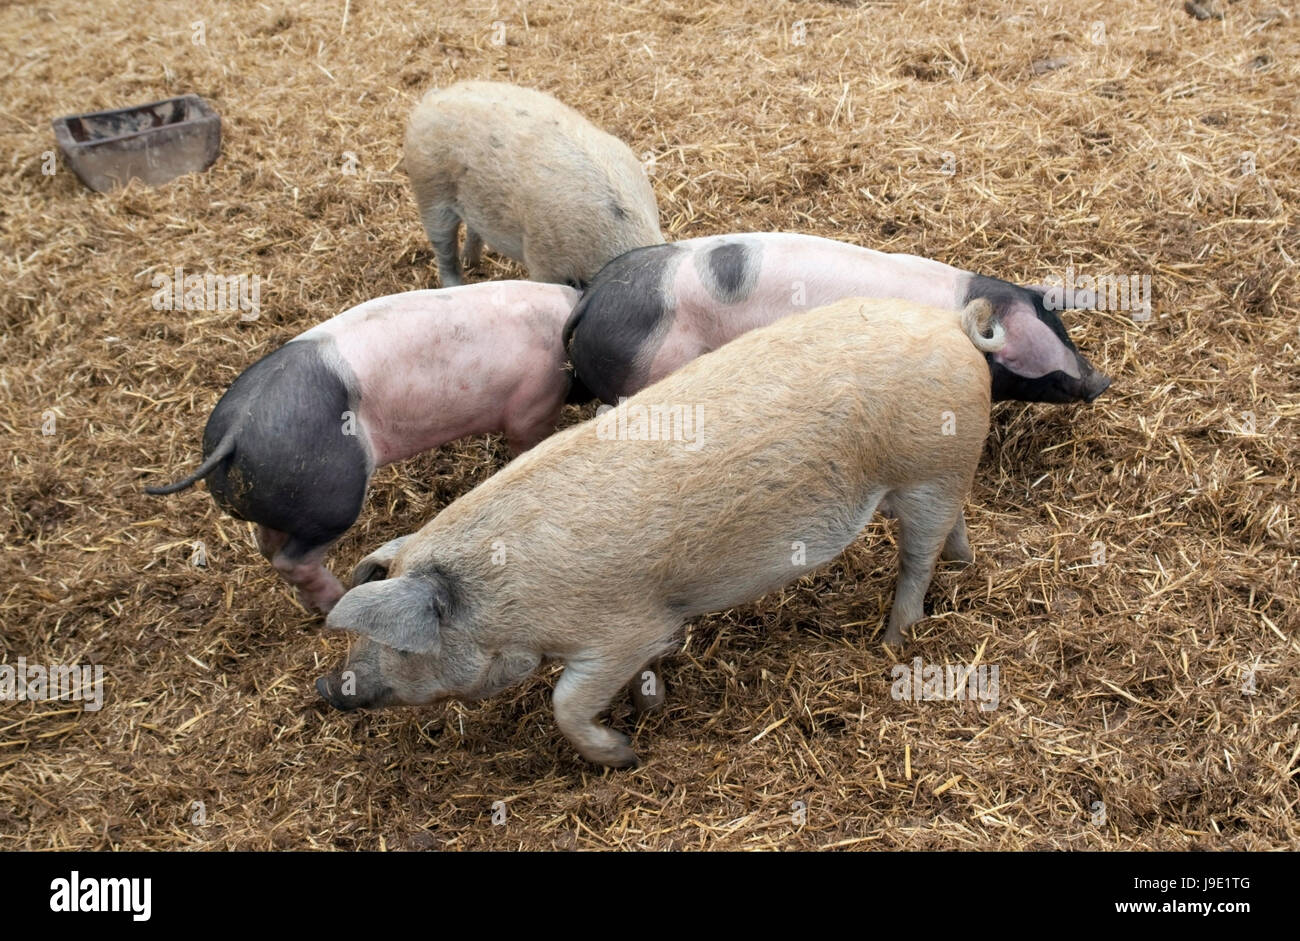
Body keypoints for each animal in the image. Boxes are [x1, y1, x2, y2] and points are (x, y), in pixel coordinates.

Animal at [145, 281, 580, 614]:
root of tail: (235, 432)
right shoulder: (533, 406)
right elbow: (528, 442)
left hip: (283, 500)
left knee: (267, 545)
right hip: (333, 496)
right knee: (292, 559)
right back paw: (336, 600)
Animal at [317, 295, 1003, 767]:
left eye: (405, 646)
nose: (328, 685)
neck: (498, 603)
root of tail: (954, 324)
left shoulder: (619, 629)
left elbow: (566, 703)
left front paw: (626, 753)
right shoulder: (642, 630)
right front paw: (652, 707)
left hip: (927, 472)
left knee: (916, 561)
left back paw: (892, 641)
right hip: (934, 479)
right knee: (952, 527)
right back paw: (963, 565)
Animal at [405, 81, 664, 289]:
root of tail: (432, 99)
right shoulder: (541, 259)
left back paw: (473, 262)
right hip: (429, 190)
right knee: (444, 251)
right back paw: (456, 285)